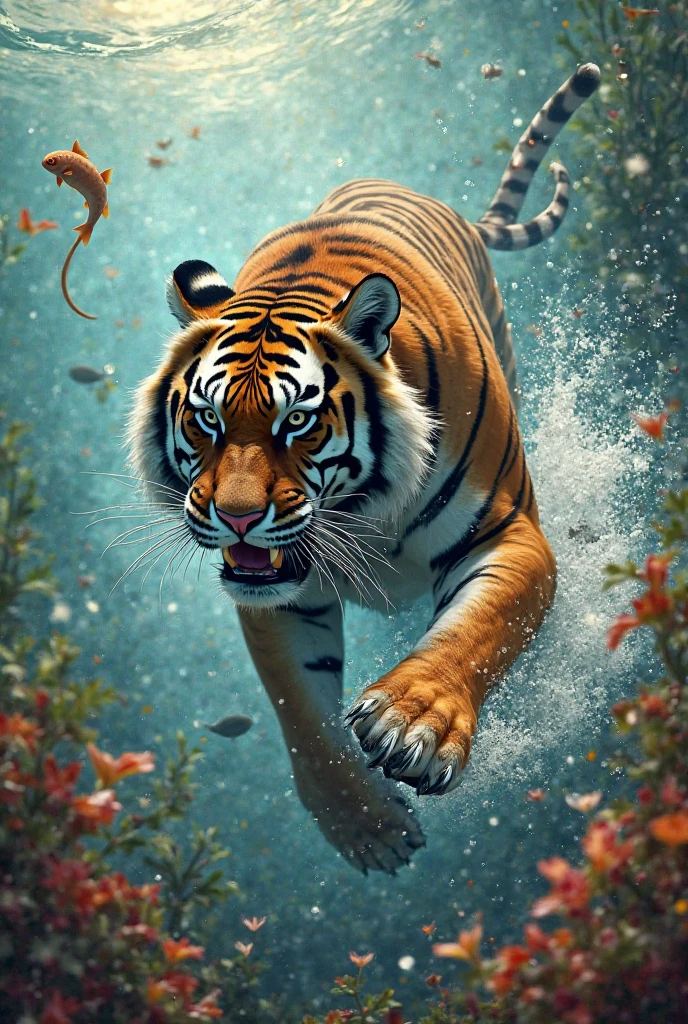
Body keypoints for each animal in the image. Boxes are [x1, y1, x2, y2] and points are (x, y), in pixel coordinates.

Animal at [128, 63, 601, 874]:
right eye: (207, 419)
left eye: (296, 421)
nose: (236, 518)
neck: (357, 510)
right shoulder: (279, 593)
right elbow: (301, 712)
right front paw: (364, 825)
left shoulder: (510, 533)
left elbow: (480, 629)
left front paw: (414, 724)